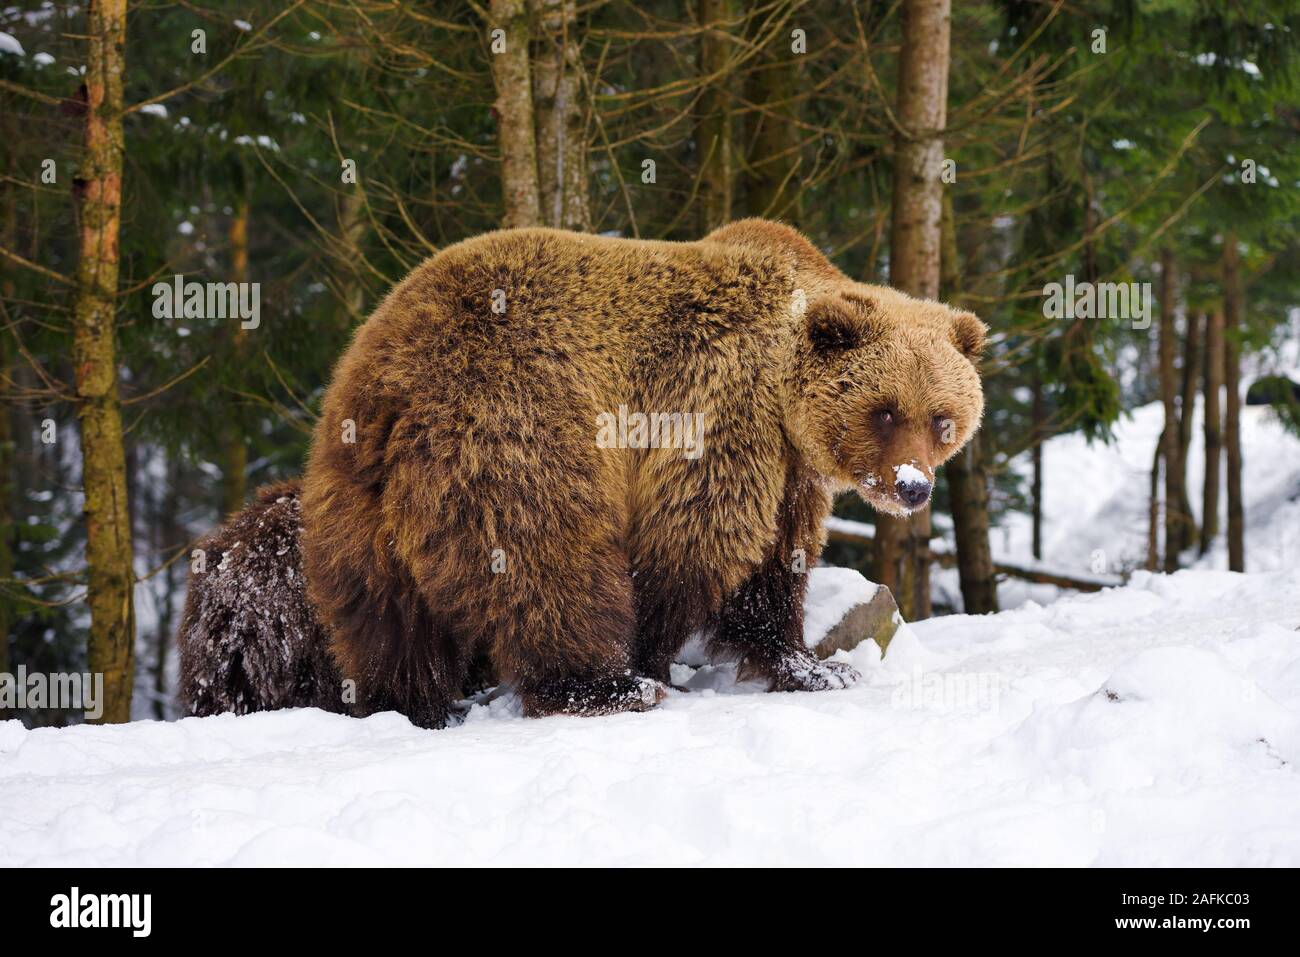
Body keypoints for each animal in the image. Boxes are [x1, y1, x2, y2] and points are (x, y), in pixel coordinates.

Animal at [297, 218, 986, 728]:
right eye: (885, 410)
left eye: (942, 418)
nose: (912, 485)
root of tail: (389, 378)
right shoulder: (717, 412)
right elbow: (697, 542)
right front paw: (655, 658)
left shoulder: (790, 469)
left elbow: (776, 563)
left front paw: (817, 667)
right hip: (512, 422)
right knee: (547, 557)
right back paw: (606, 686)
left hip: (353, 490)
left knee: (385, 612)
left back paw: (405, 702)